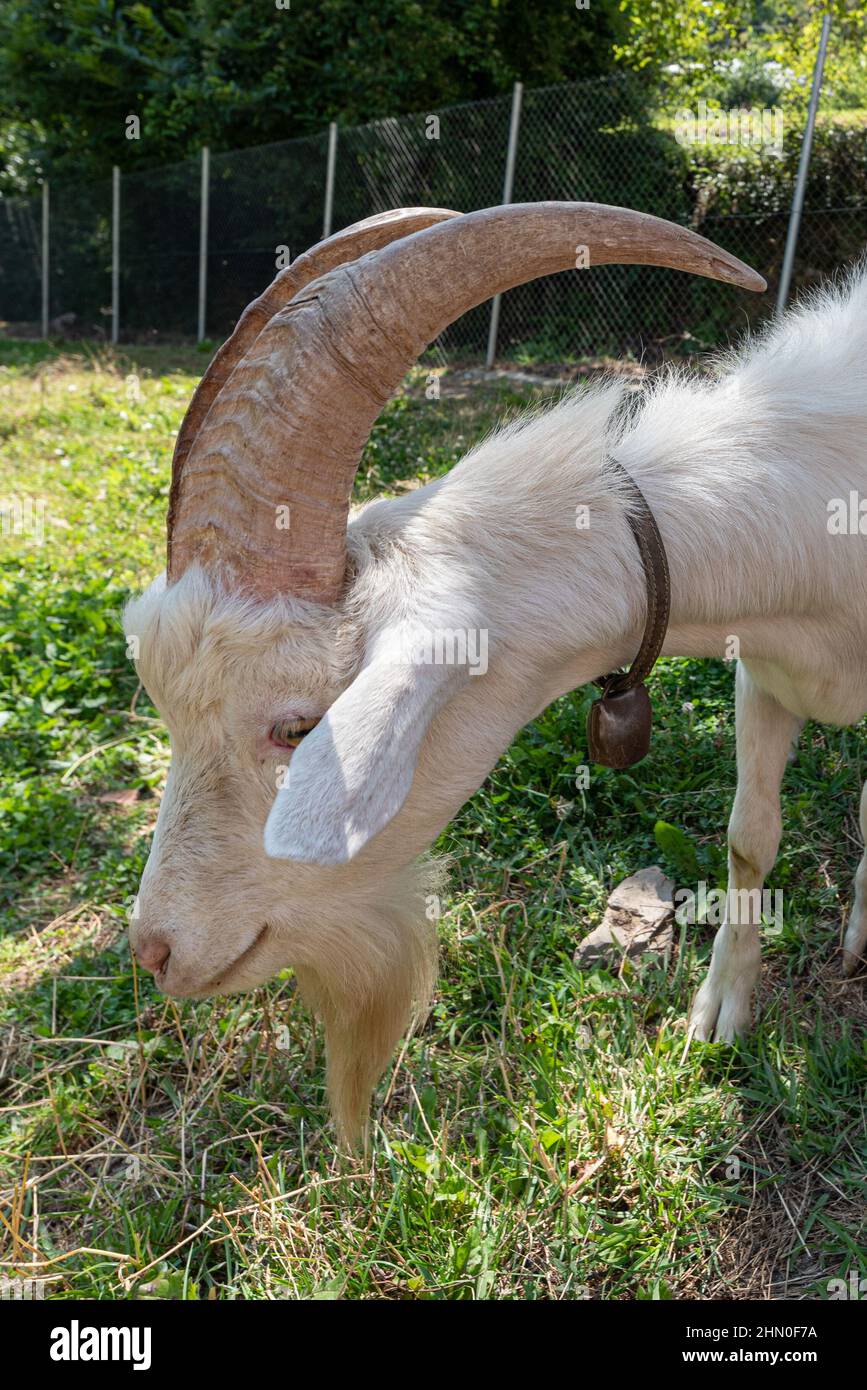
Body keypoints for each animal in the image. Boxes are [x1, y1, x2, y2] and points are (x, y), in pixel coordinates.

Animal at [125, 201, 866, 1144]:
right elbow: (748, 835)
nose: (154, 951)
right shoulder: (761, 674)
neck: (821, 513)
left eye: (296, 727)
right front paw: (719, 1012)